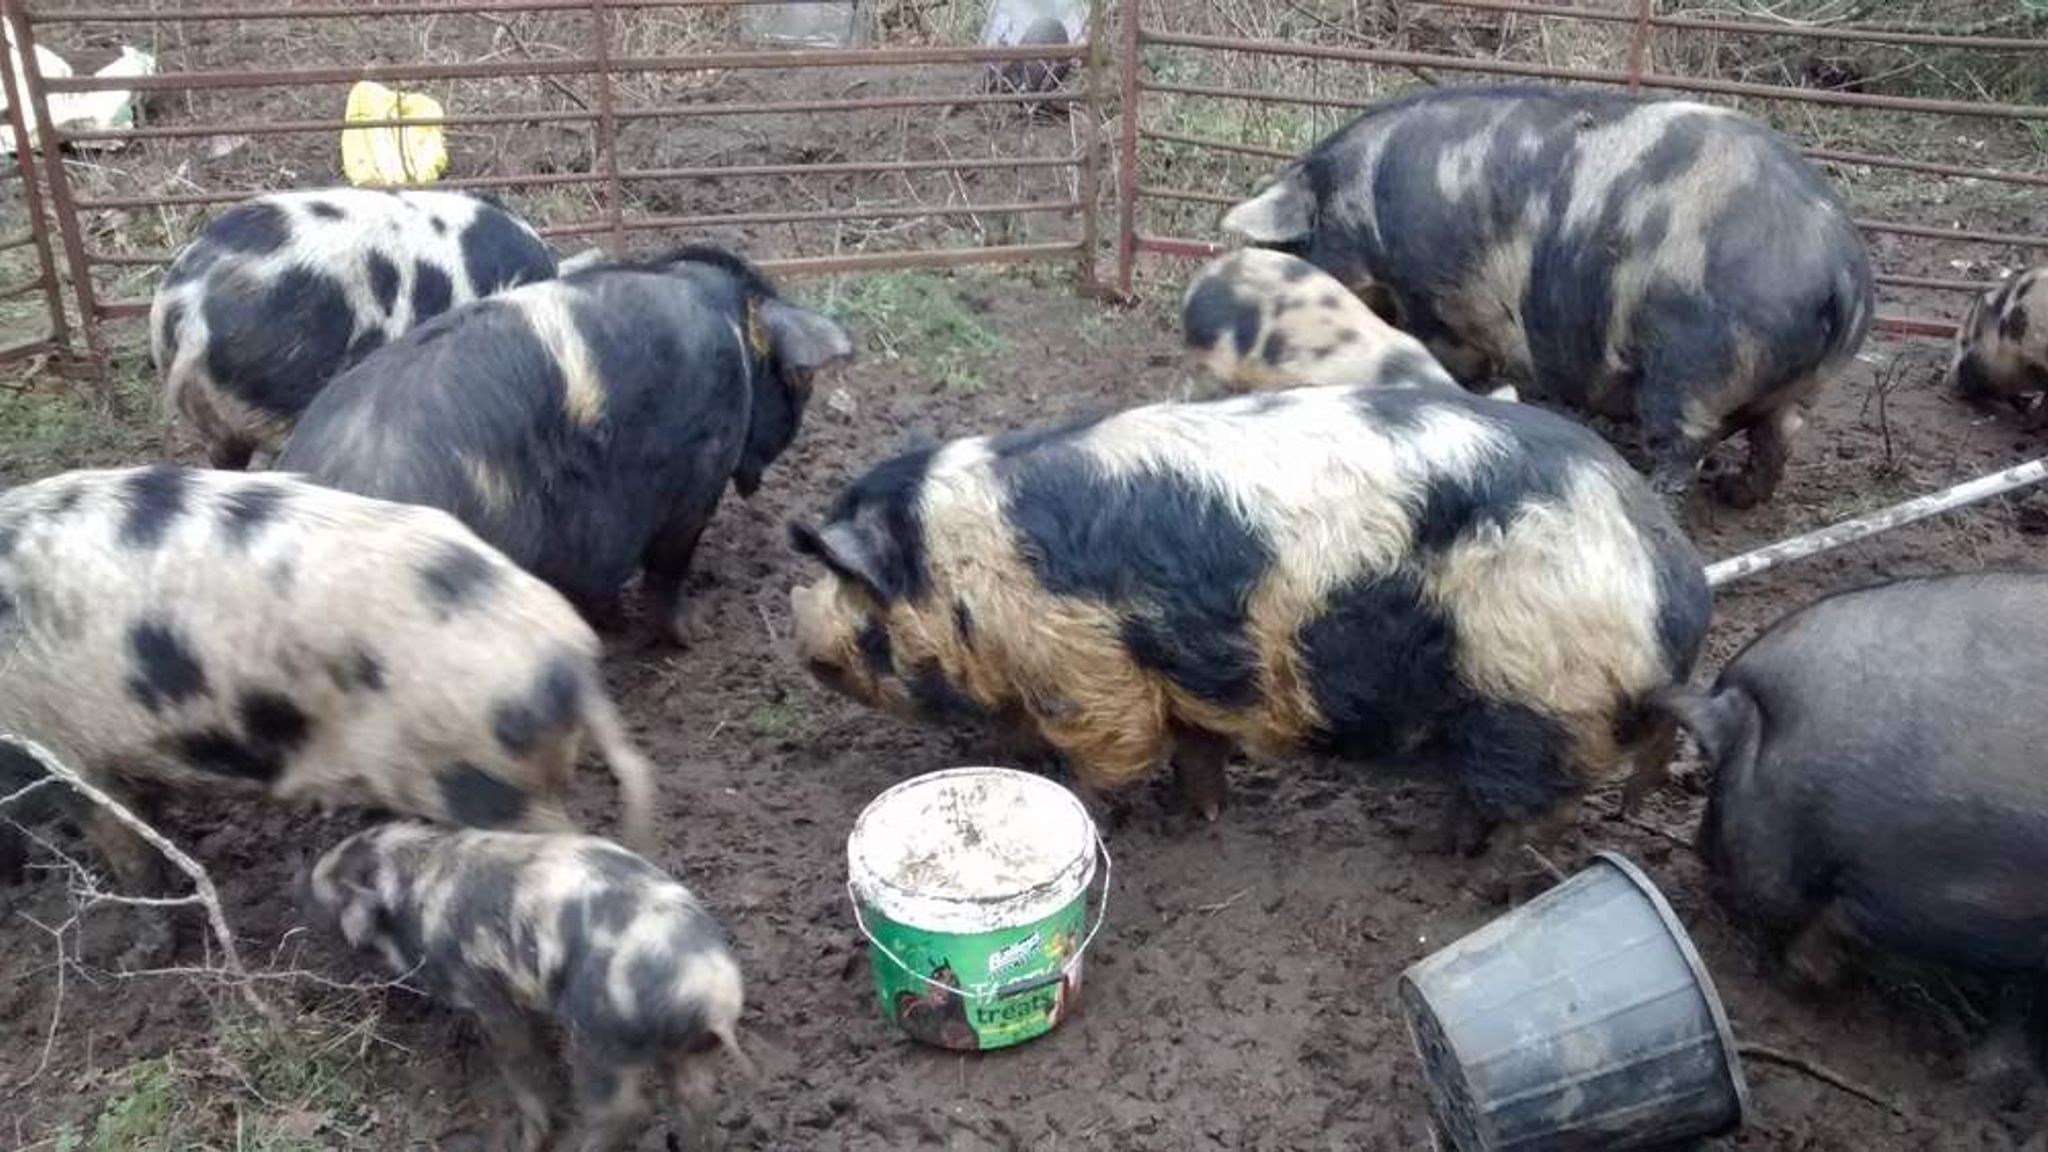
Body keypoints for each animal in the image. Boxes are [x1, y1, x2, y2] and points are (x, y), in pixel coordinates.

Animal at [309, 824, 747, 1152]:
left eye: (335, 882)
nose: (308, 874)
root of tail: (711, 998)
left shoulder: (481, 989)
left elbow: (517, 1057)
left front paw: (528, 1138)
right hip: (693, 1054)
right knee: (698, 1107)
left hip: (600, 1033)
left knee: (624, 1110)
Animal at [788, 384, 1711, 870]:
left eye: (847, 581)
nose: (805, 645)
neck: (967, 566)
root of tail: (1675, 586)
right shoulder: (1179, 674)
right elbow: (1196, 750)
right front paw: (1198, 820)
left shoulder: (1089, 667)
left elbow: (1110, 755)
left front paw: (1107, 819)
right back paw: (1432, 845)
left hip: (1538, 689)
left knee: (1539, 804)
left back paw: (1473, 876)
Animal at [1220, 84, 1874, 507]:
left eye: (1300, 246)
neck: (1362, 201)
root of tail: (1837, 265)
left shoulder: (1441, 298)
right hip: (1803, 385)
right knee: (1779, 436)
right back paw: (1737, 494)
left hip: (1697, 363)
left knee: (1682, 449)